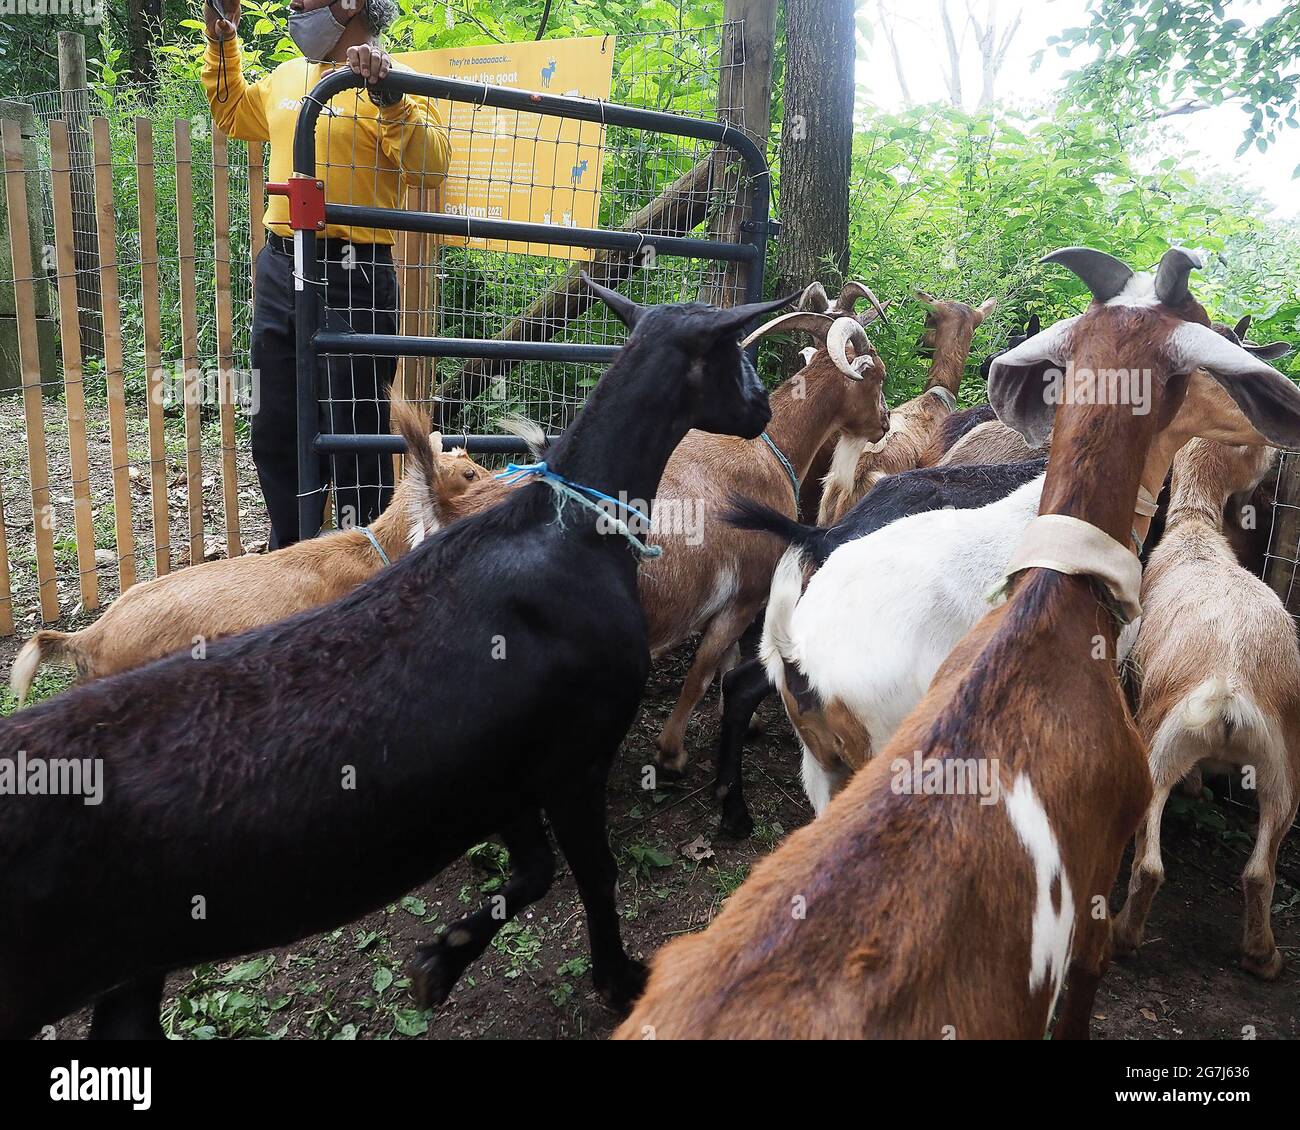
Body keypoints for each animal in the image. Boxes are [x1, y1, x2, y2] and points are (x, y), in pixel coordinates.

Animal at [1113, 439, 1300, 979]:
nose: (1279, 456)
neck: (1195, 532)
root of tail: (1228, 689)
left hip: (1160, 744)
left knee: (1149, 864)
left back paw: (1122, 935)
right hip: (1283, 770)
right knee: (1260, 872)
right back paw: (1263, 956)